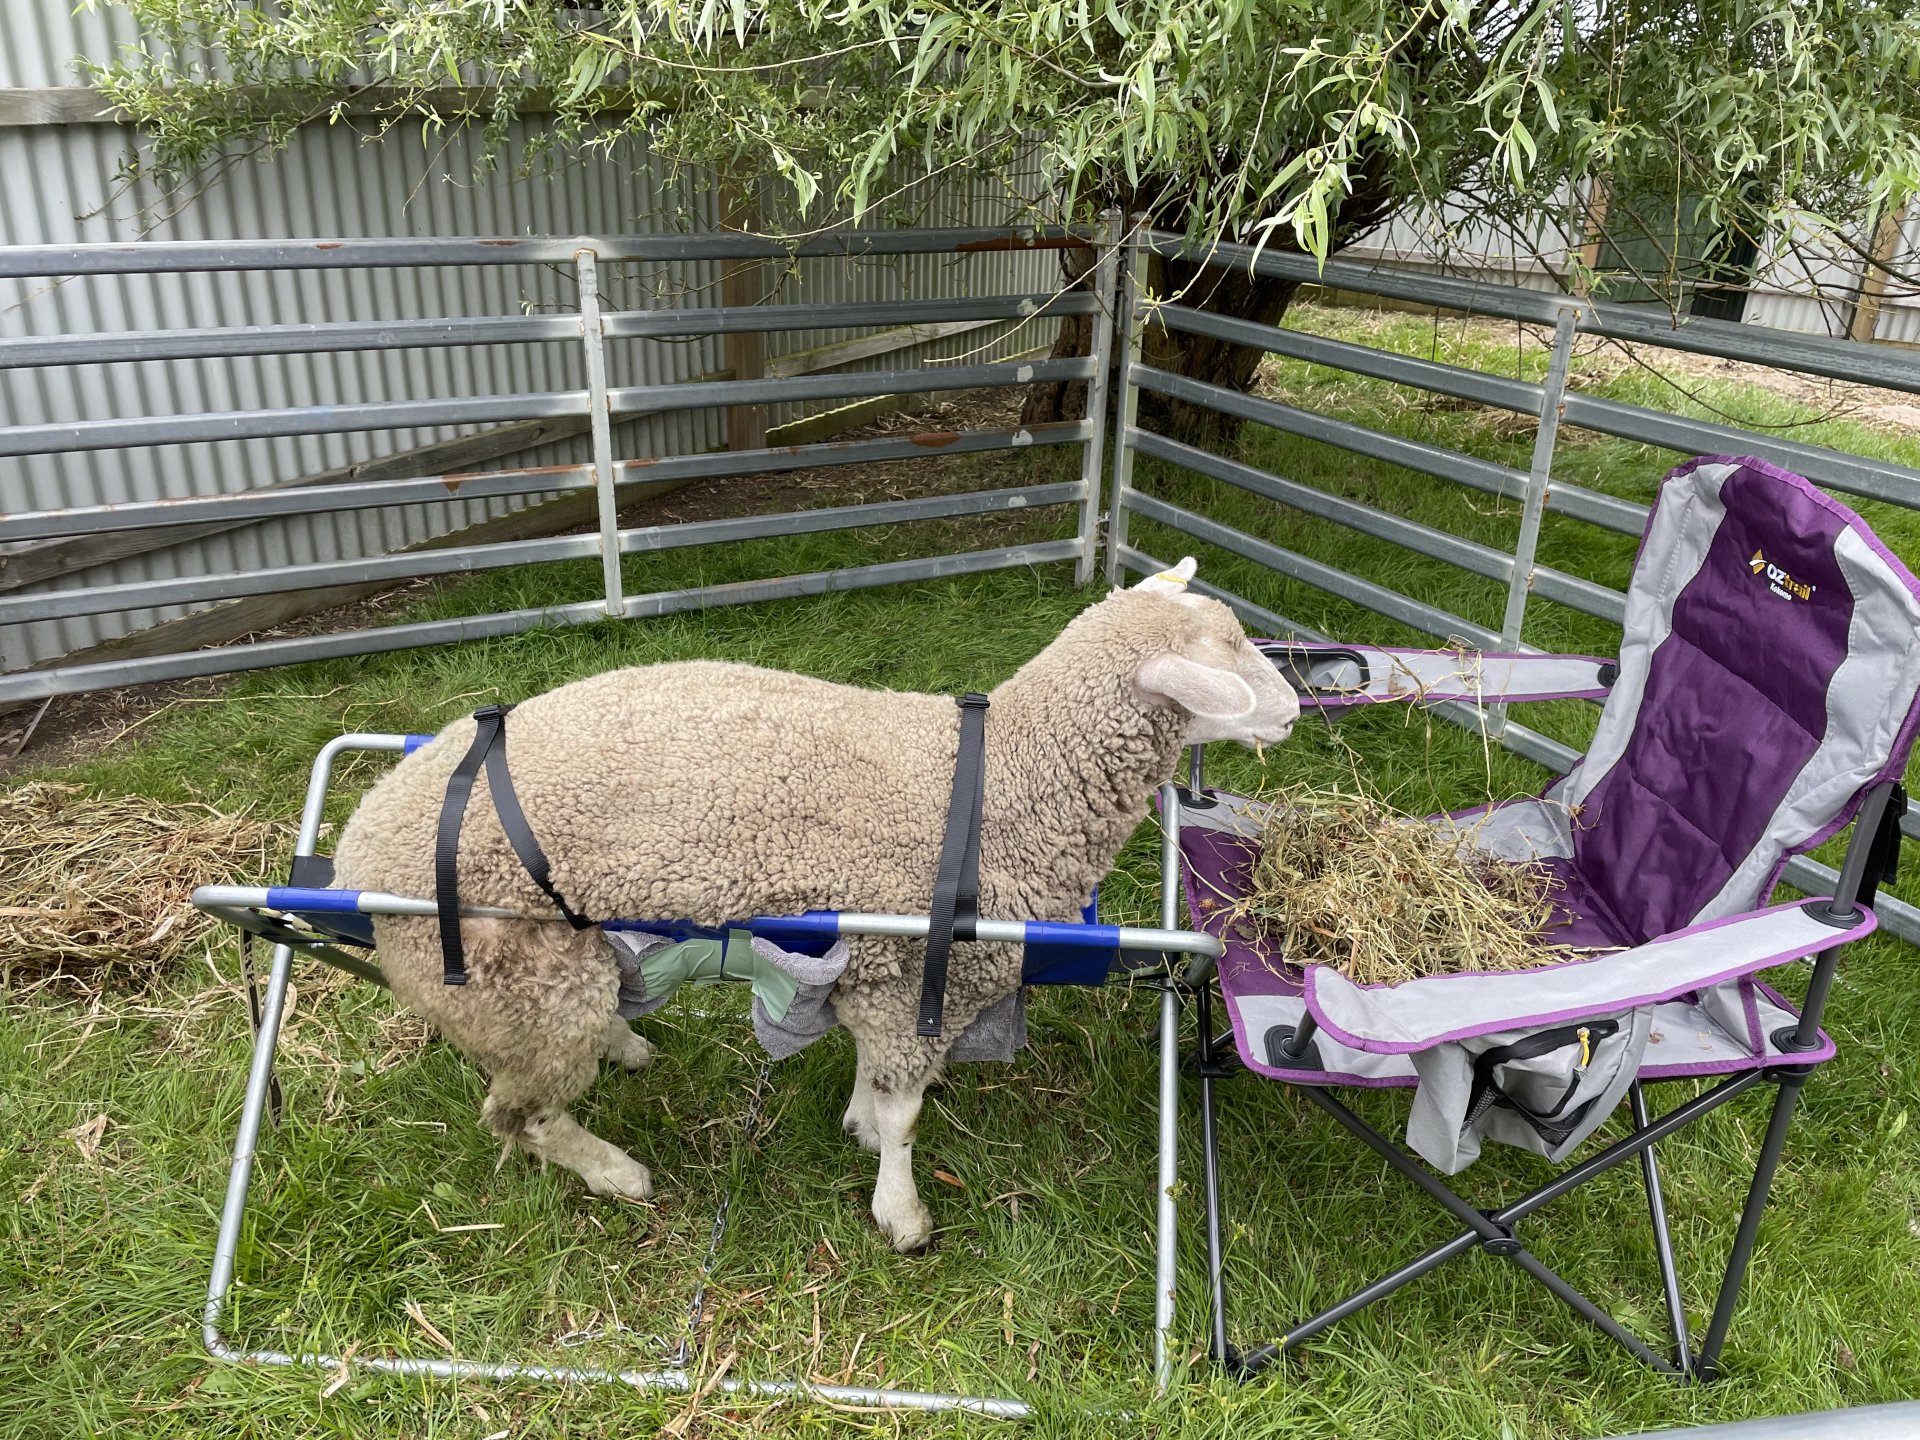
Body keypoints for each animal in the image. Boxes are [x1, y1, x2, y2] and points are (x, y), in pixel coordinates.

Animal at [332, 560, 1299, 1251]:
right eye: (1230, 653)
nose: (1294, 713)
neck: (1013, 781)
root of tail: (356, 851)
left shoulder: (880, 975)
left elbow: (878, 1082)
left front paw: (861, 1129)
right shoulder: (916, 978)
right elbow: (905, 1112)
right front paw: (902, 1215)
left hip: (554, 966)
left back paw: (625, 1046)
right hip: (512, 976)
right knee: (518, 1111)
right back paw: (618, 1174)